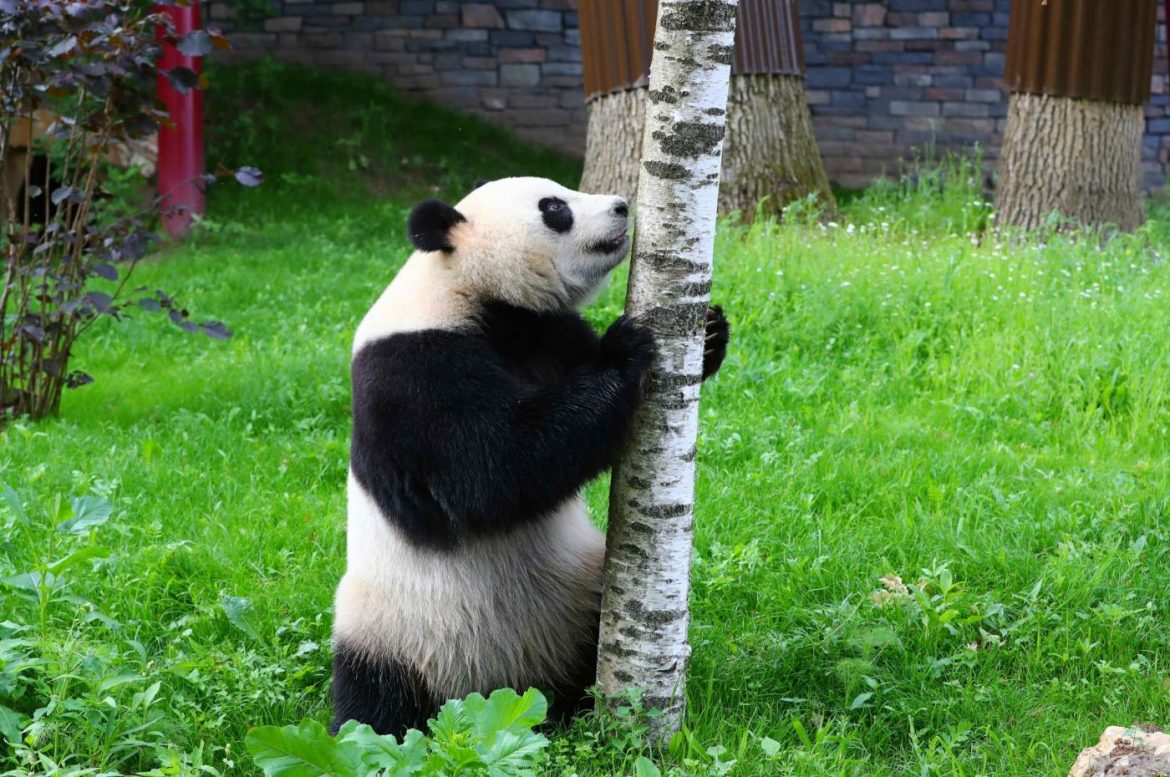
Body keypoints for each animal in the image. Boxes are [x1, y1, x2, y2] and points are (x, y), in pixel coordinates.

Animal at [331, 176, 730, 737]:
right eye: (555, 208)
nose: (620, 206)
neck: (468, 291)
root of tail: (499, 686)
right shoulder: (409, 370)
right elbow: (492, 472)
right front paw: (625, 349)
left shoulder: (547, 332)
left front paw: (711, 332)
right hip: (392, 627)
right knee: (375, 700)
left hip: (579, 588)